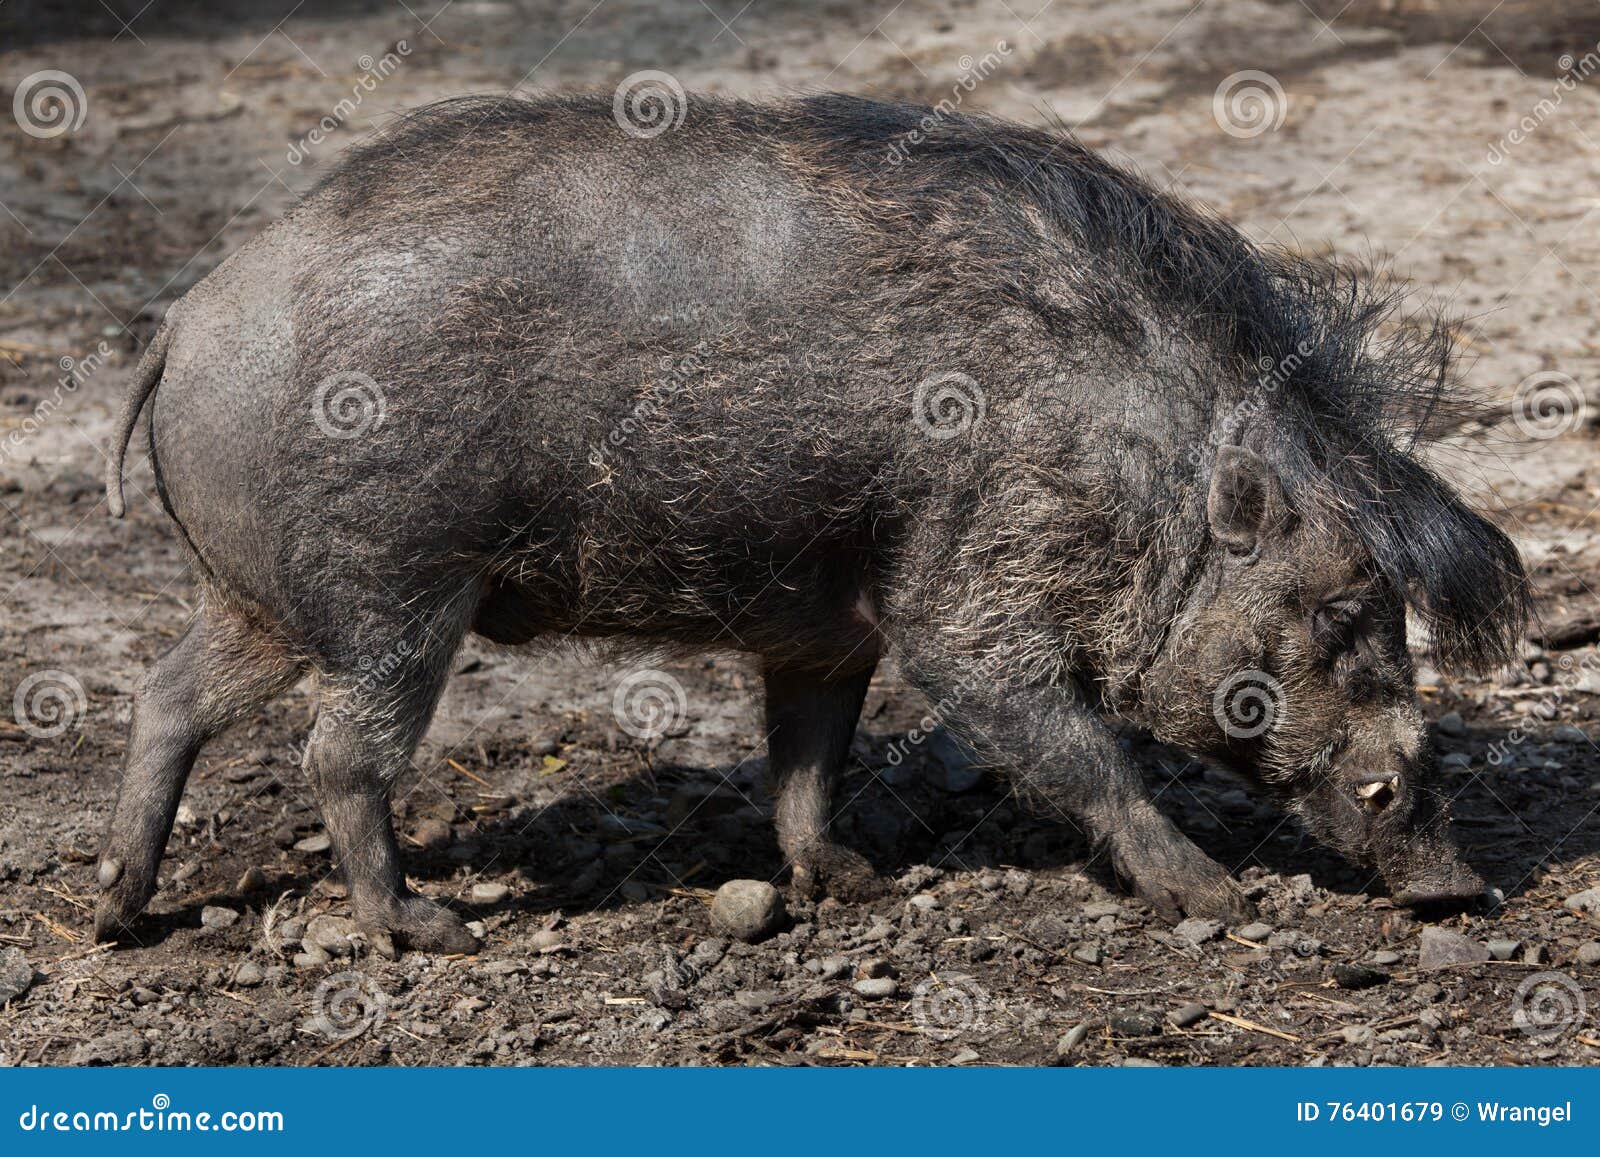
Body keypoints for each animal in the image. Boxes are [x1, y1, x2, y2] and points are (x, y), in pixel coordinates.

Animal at [97, 92, 1528, 954]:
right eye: (1337, 607)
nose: (1462, 884)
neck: (1147, 477)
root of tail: (188, 318)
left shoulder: (829, 621)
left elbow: (807, 758)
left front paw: (849, 881)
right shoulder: (968, 585)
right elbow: (1067, 741)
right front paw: (1212, 895)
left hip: (267, 597)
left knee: (167, 693)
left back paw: (118, 908)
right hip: (394, 587)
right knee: (338, 750)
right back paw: (427, 928)